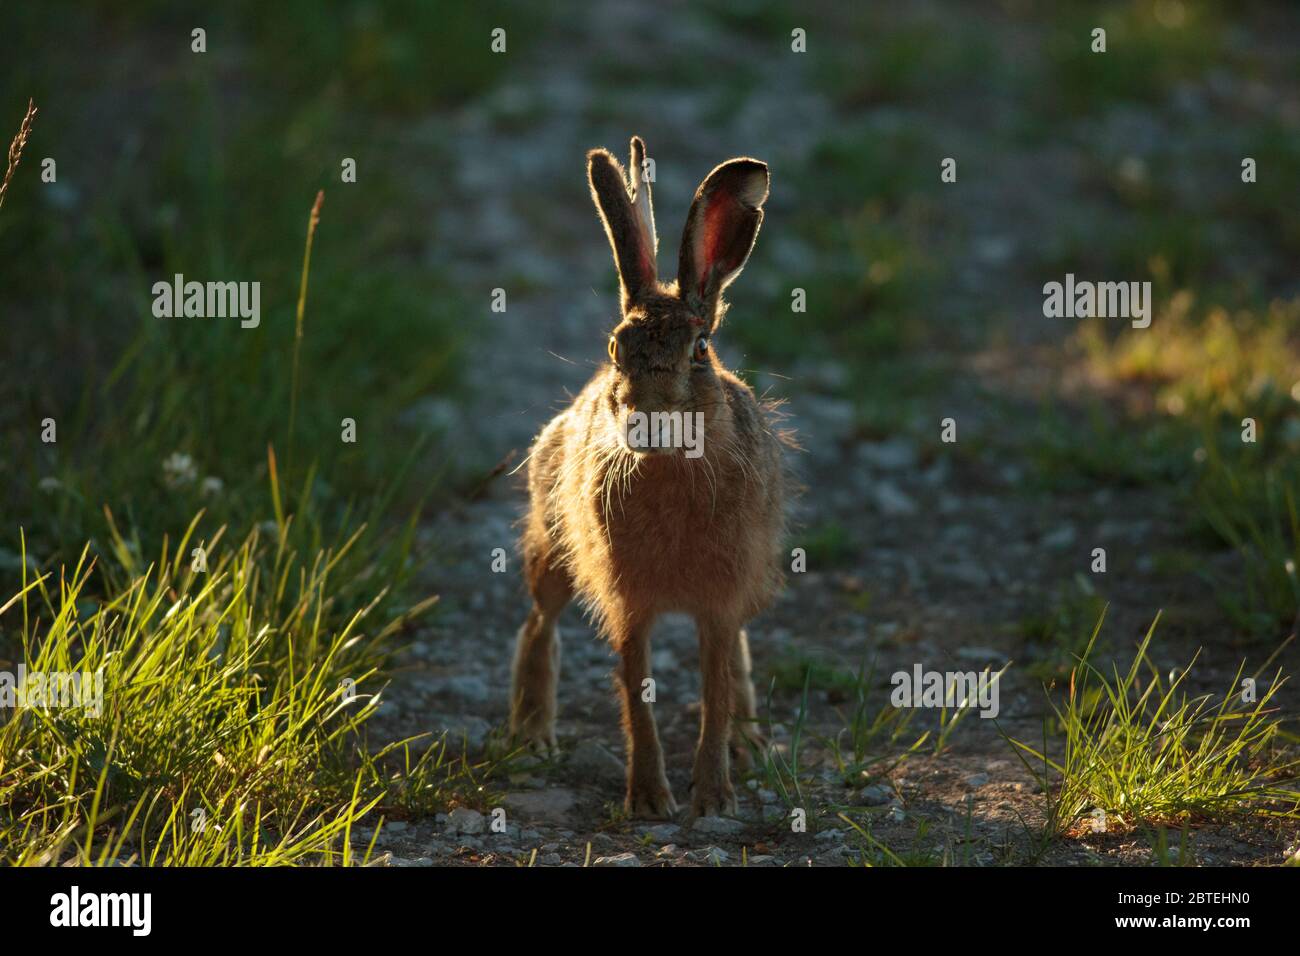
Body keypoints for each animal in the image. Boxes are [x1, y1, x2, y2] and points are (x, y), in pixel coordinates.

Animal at [509, 135, 788, 820]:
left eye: (700, 350)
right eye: (616, 349)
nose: (649, 417)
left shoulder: (722, 598)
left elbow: (715, 688)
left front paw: (713, 797)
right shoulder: (627, 599)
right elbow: (636, 692)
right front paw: (649, 800)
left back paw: (750, 745)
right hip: (553, 550)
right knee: (540, 621)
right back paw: (532, 738)